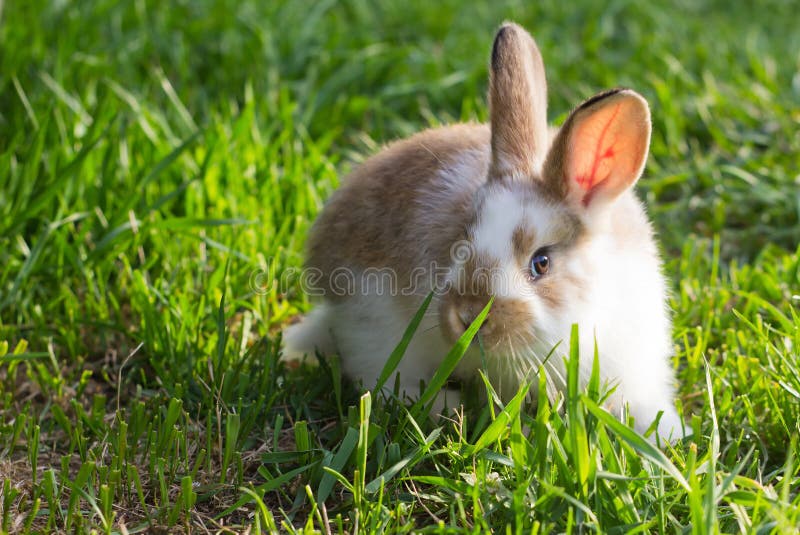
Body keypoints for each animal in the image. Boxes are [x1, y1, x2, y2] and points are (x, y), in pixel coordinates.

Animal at [284, 22, 684, 440]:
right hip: (376, 323)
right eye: (462, 245)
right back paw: (446, 406)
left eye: (541, 263)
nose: (467, 316)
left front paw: (668, 434)